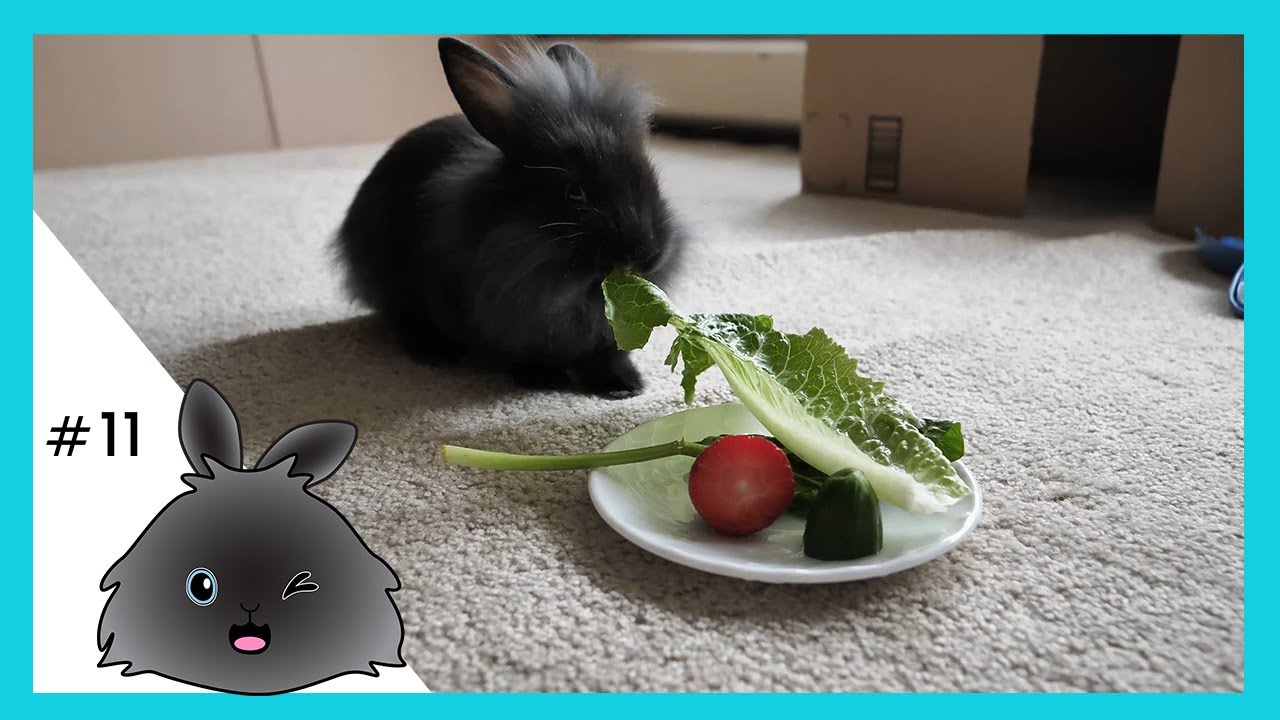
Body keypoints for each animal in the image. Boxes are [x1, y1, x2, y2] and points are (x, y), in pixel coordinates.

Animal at [332, 37, 687, 399]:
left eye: (650, 176)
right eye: (573, 192)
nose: (648, 255)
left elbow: (607, 356)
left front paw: (624, 385)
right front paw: (545, 379)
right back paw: (434, 352)